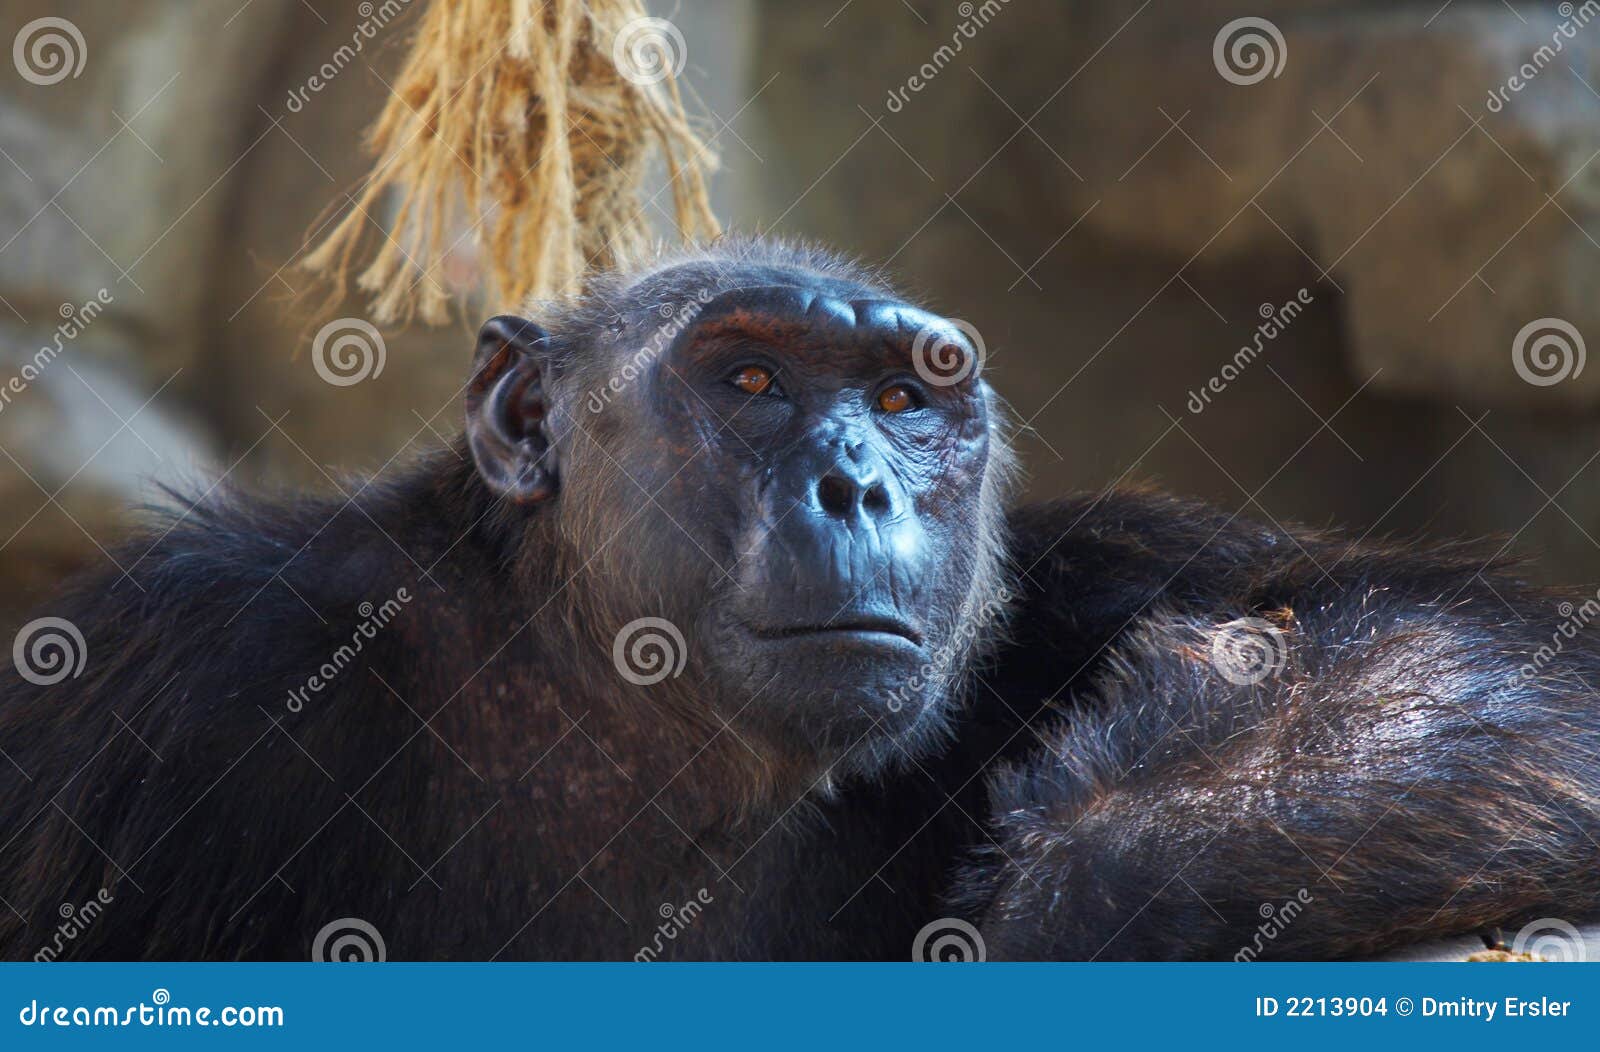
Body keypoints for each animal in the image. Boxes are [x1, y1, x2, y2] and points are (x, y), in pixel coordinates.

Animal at [0, 238, 1596, 961]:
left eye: (905, 399)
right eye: (753, 377)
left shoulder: (1095, 573)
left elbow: (1502, 667)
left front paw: (1101, 877)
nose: (859, 483)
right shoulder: (190, 668)